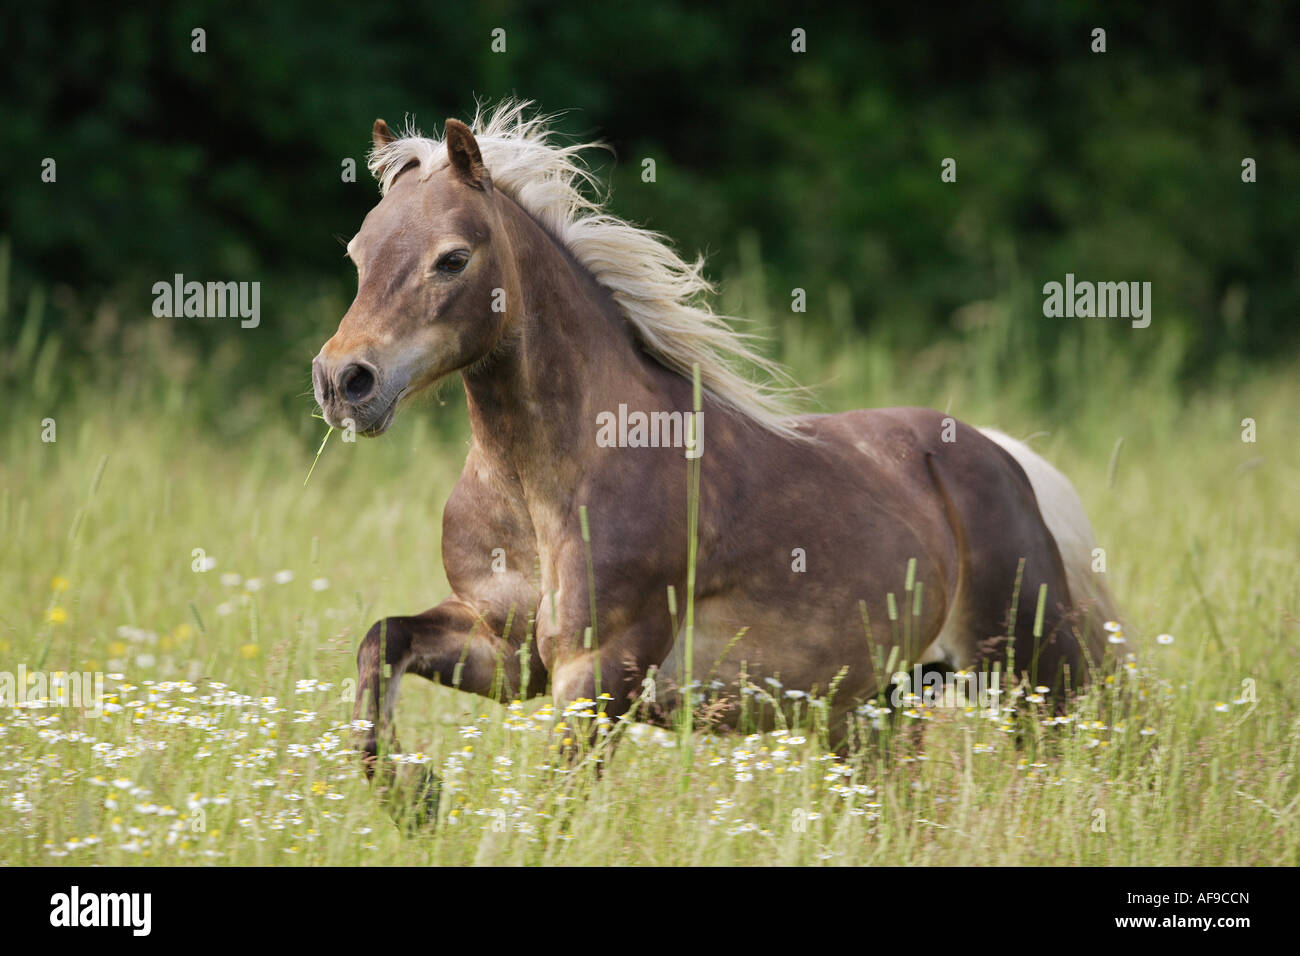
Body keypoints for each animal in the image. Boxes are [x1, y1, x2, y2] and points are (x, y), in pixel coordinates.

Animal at [311, 101, 1121, 786]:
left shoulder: (595, 671)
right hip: (872, 714)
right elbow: (379, 644)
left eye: (452, 258)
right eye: (356, 251)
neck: (542, 483)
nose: (343, 381)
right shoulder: (507, 654)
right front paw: (414, 794)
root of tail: (1006, 458)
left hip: (1036, 681)